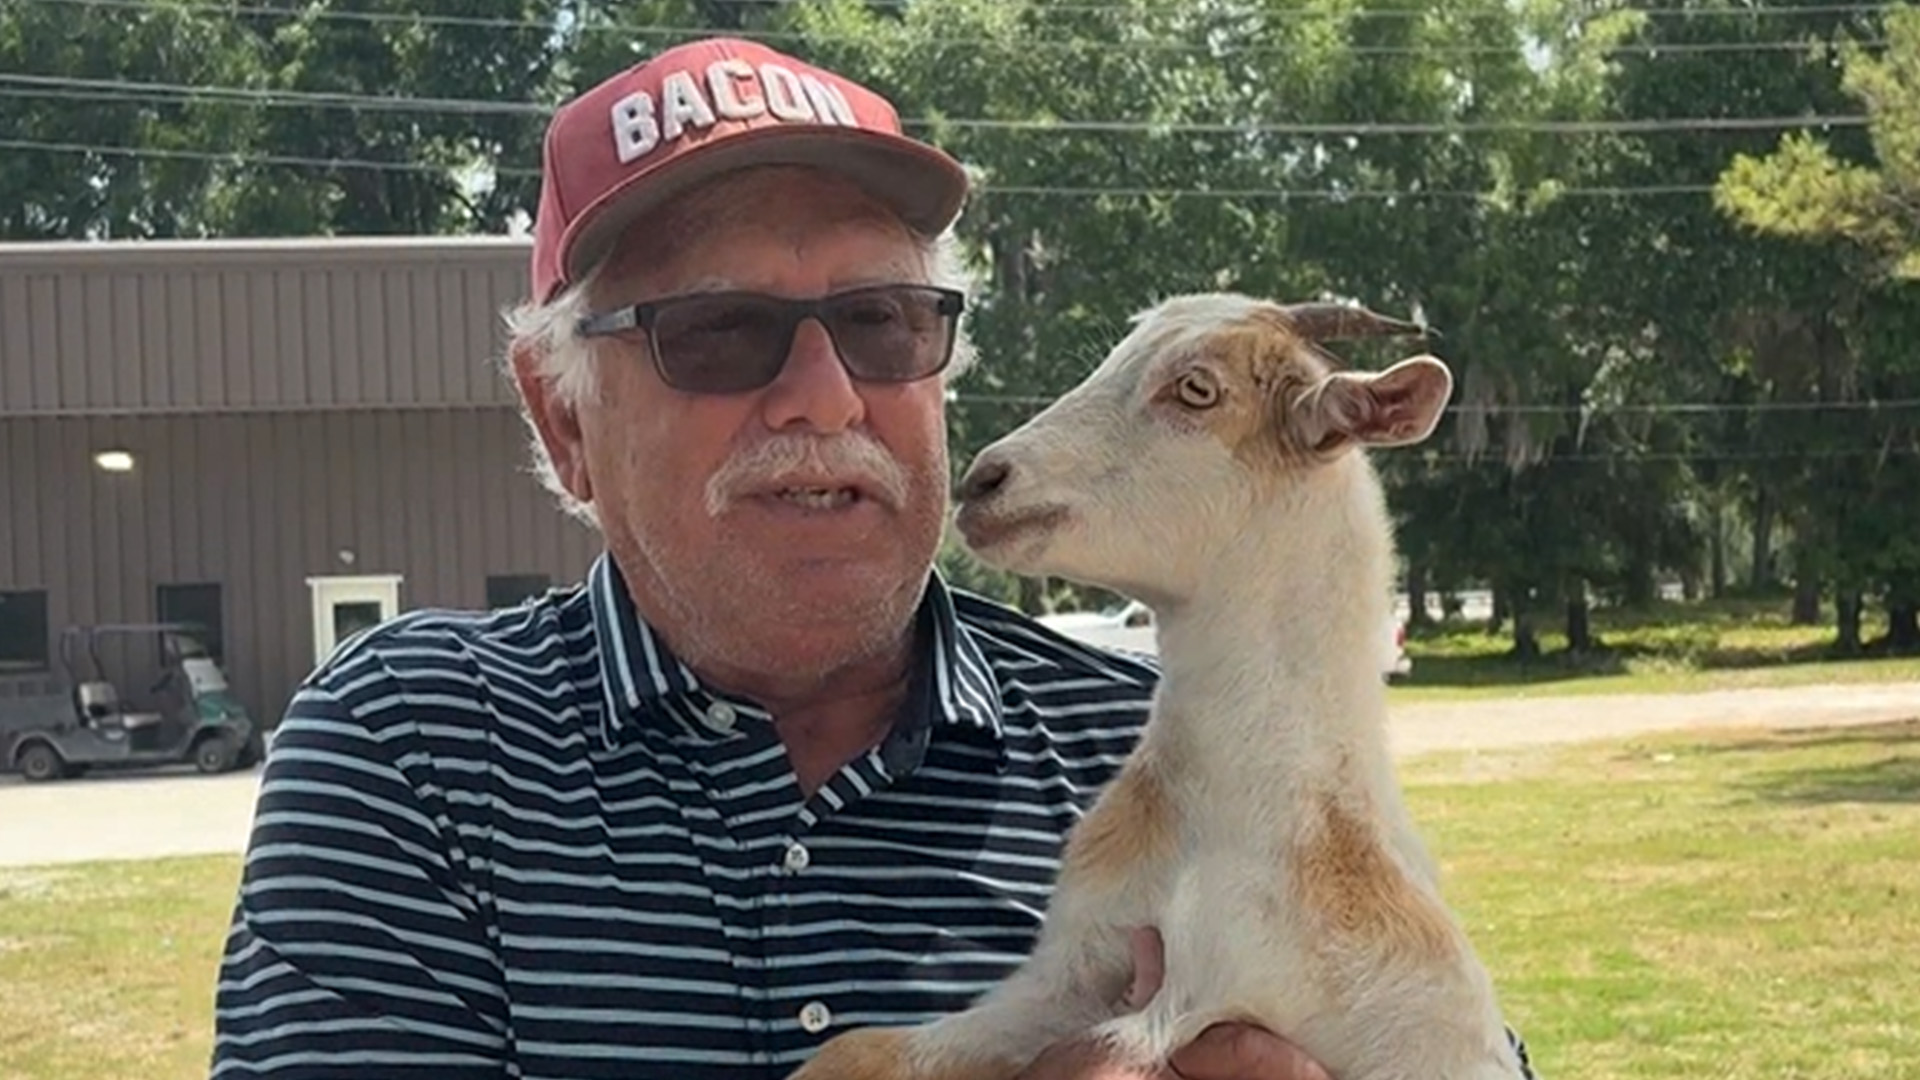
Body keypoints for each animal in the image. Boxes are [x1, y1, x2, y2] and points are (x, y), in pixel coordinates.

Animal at [783, 293, 1524, 1080]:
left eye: (1196, 388)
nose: (987, 480)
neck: (1232, 809)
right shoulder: (1070, 973)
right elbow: (856, 1047)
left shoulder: (1206, 986)